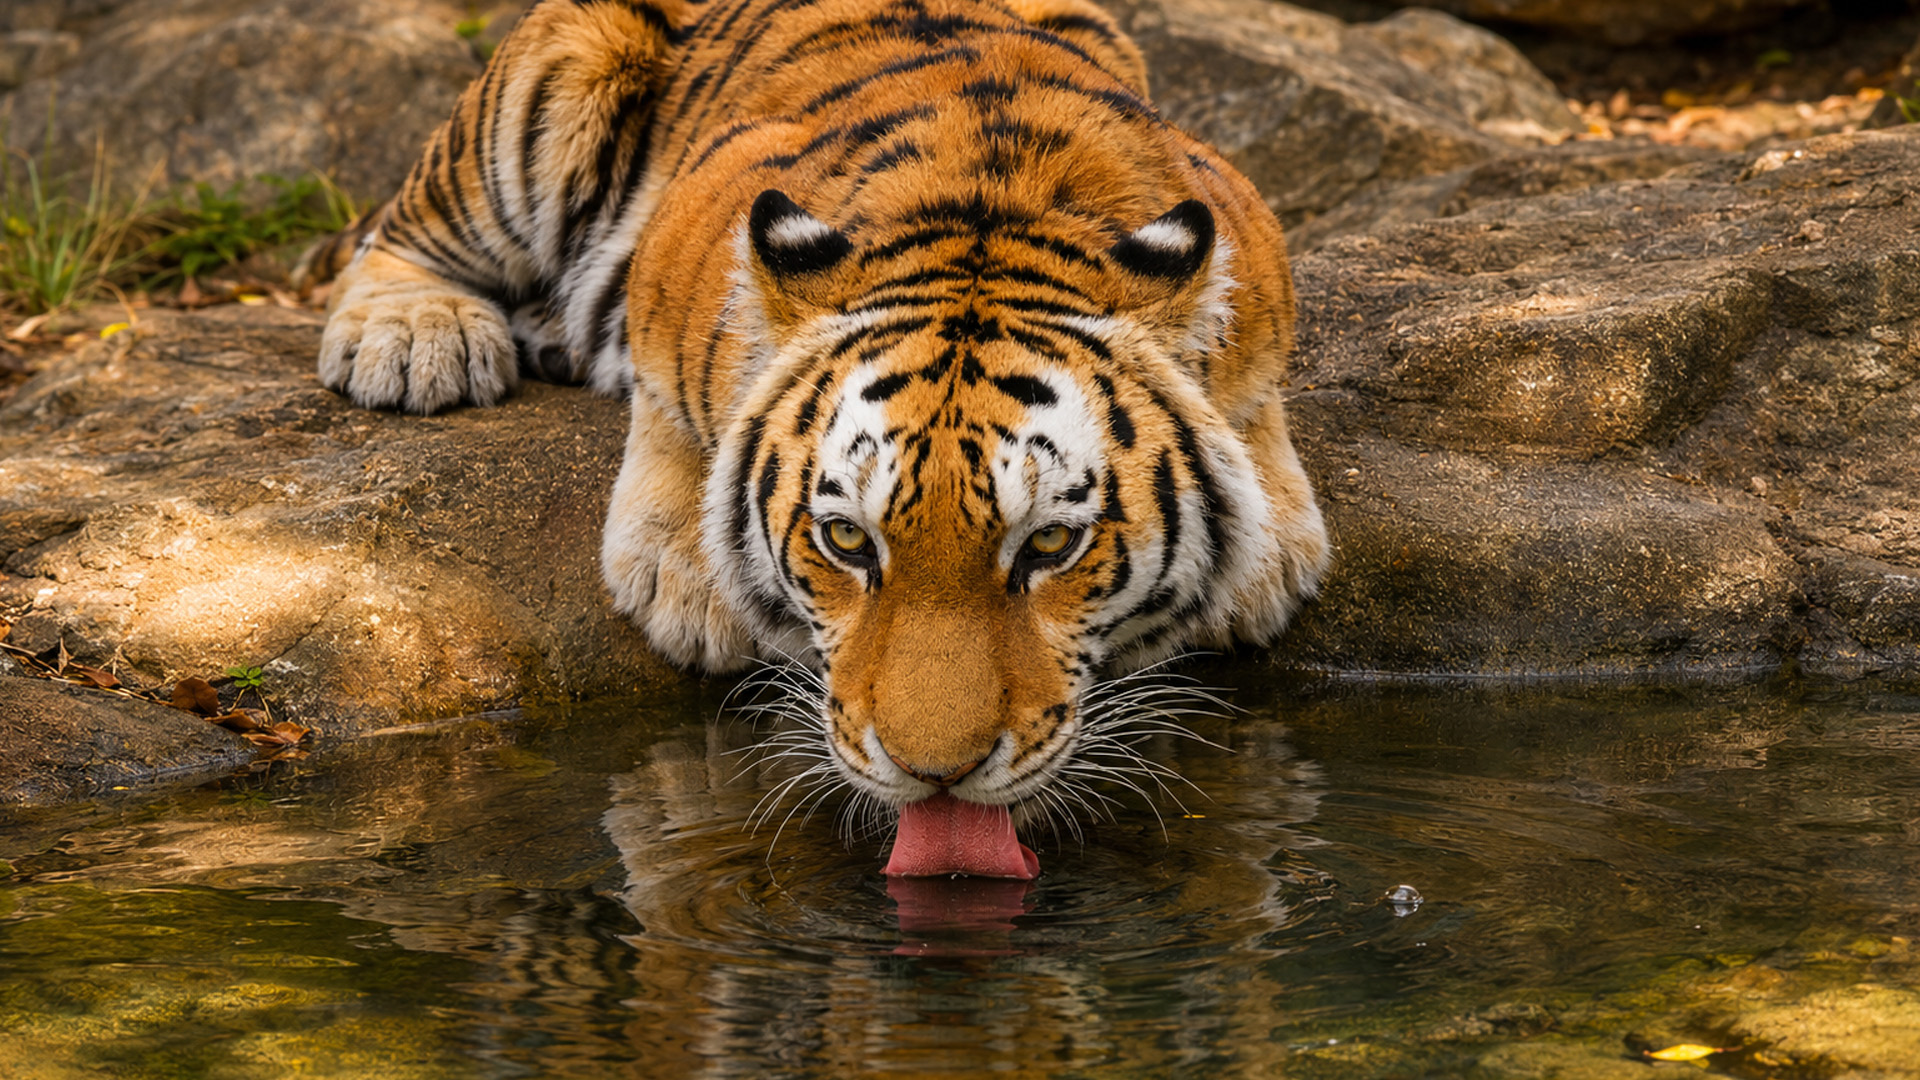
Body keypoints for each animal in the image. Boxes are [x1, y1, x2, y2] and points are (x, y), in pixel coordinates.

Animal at [309, 0, 1329, 876]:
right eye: (846, 540)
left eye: (1048, 546)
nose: (936, 777)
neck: (987, 212)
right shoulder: (683, 240)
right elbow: (669, 407)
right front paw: (690, 584)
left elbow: (1256, 413)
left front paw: (1269, 557)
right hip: (545, 84)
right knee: (396, 235)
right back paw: (417, 340)